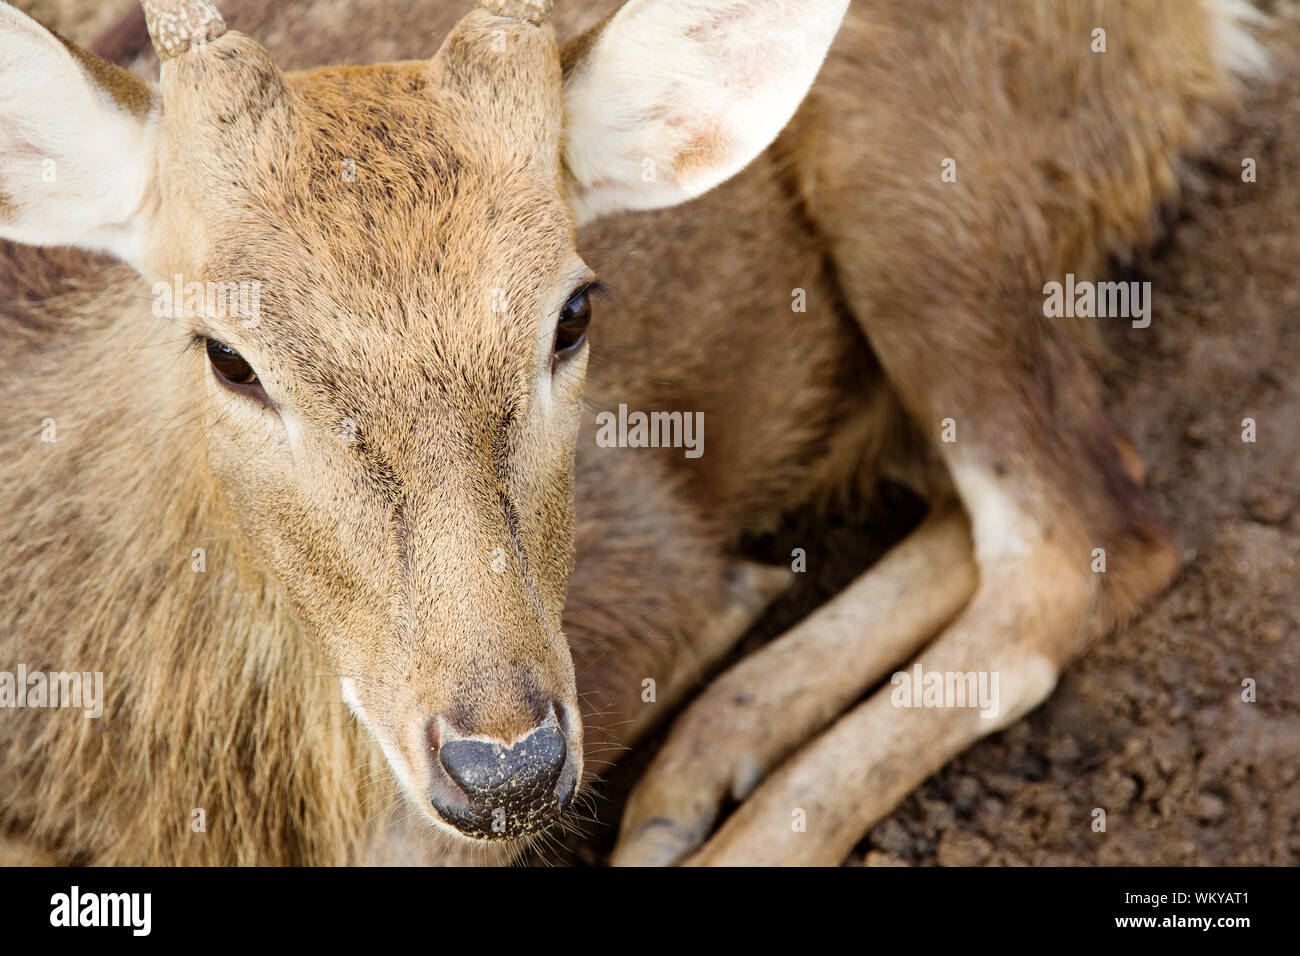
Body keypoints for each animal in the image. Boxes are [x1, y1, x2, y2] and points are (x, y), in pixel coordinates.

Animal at [0, 0, 1262, 865]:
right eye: (229, 354)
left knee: (1088, 524)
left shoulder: (636, 547)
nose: (505, 760)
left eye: (574, 310)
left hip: (923, 183)